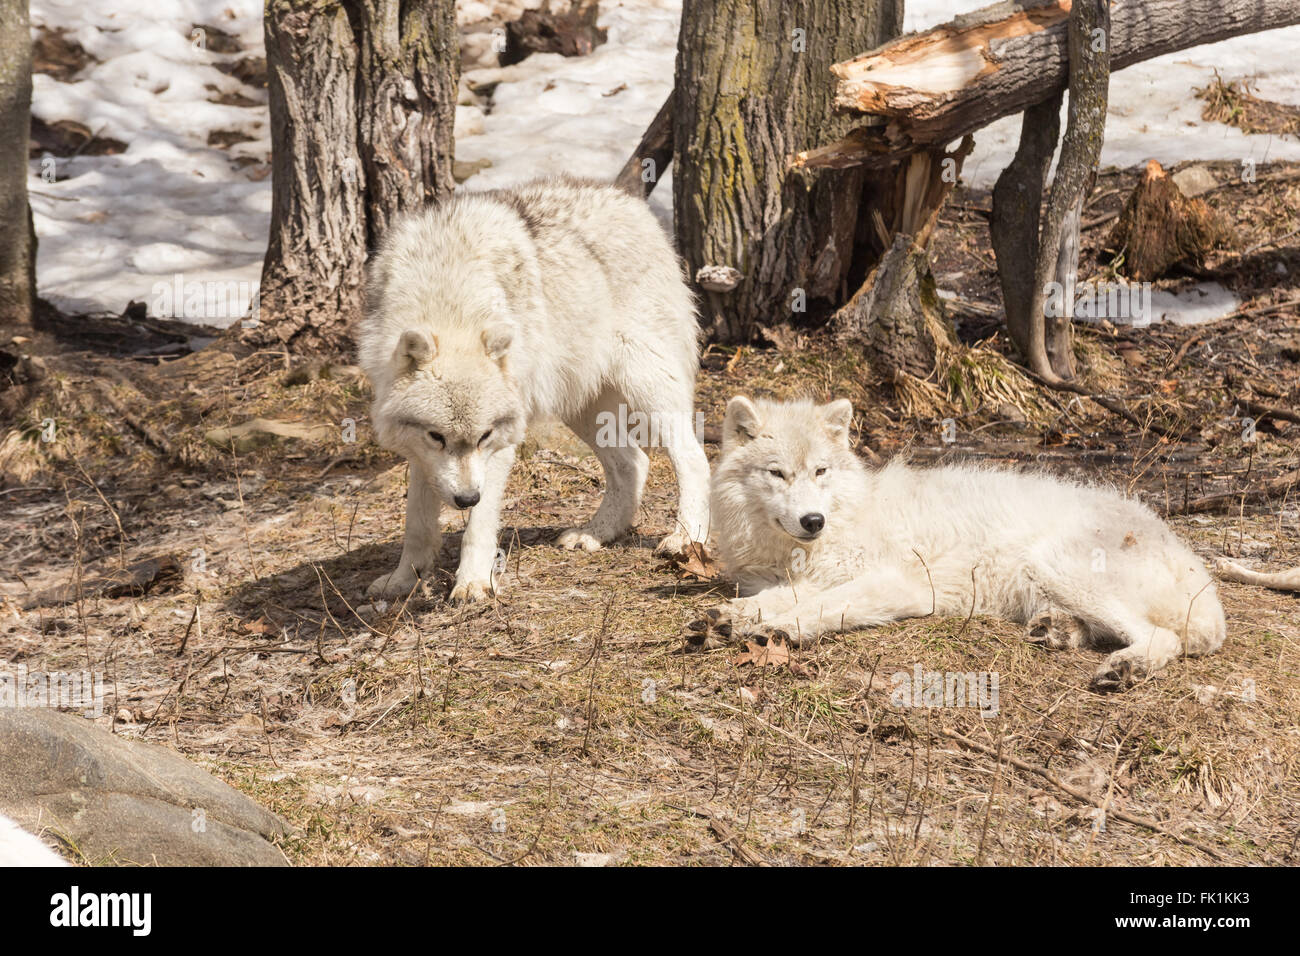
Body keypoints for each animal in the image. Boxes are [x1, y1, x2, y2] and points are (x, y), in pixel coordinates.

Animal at [358, 178, 711, 603]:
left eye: (484, 436)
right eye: (436, 437)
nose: (466, 499)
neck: (448, 296)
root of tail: (633, 204)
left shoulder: (501, 445)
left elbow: (478, 527)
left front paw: (473, 582)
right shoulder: (422, 453)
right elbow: (416, 523)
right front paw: (403, 581)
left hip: (646, 385)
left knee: (693, 458)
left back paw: (686, 539)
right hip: (580, 404)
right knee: (634, 462)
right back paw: (597, 533)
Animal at [706, 396, 1226, 690]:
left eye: (820, 471)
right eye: (777, 473)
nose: (813, 520)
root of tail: (1193, 565)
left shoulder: (900, 584)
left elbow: (817, 605)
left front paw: (777, 629)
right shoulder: (796, 576)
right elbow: (776, 597)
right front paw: (729, 618)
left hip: (1055, 564)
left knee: (1164, 638)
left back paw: (1127, 667)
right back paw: (1055, 631)